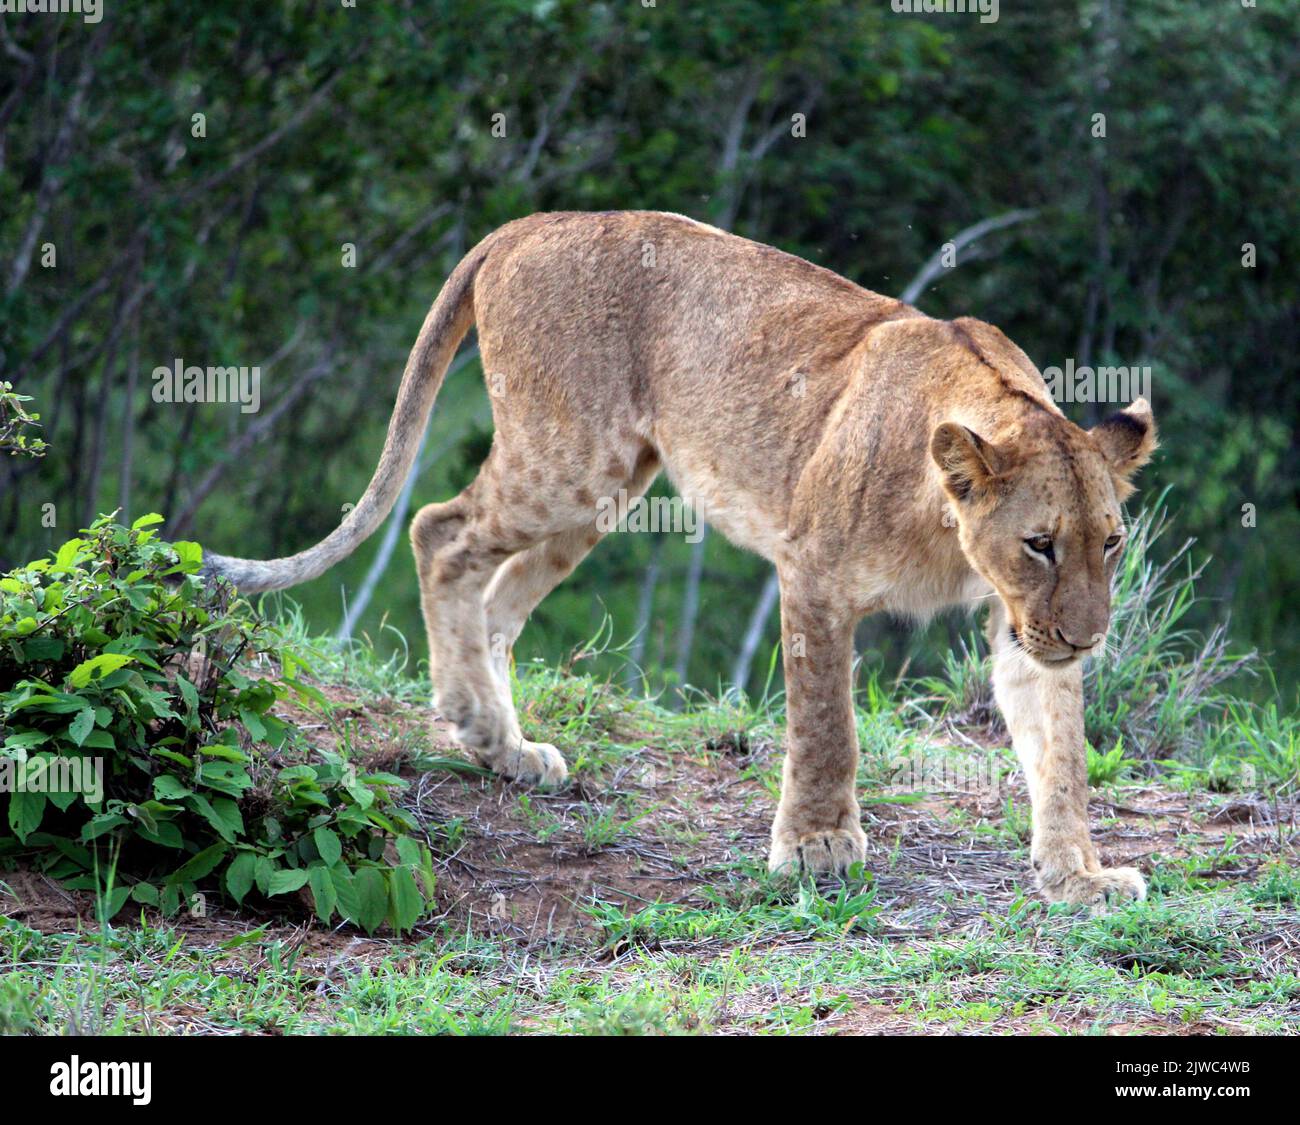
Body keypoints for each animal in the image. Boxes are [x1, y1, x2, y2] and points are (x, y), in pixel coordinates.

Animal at [205, 211, 1156, 909]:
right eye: (1039, 544)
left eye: (1109, 542)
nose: (1087, 639)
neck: (947, 518)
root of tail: (527, 224)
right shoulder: (814, 573)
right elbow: (828, 728)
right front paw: (816, 845)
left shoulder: (1018, 626)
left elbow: (1061, 752)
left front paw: (1079, 874)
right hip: (567, 461)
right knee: (440, 531)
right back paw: (475, 721)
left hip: (607, 487)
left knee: (498, 594)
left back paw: (502, 745)